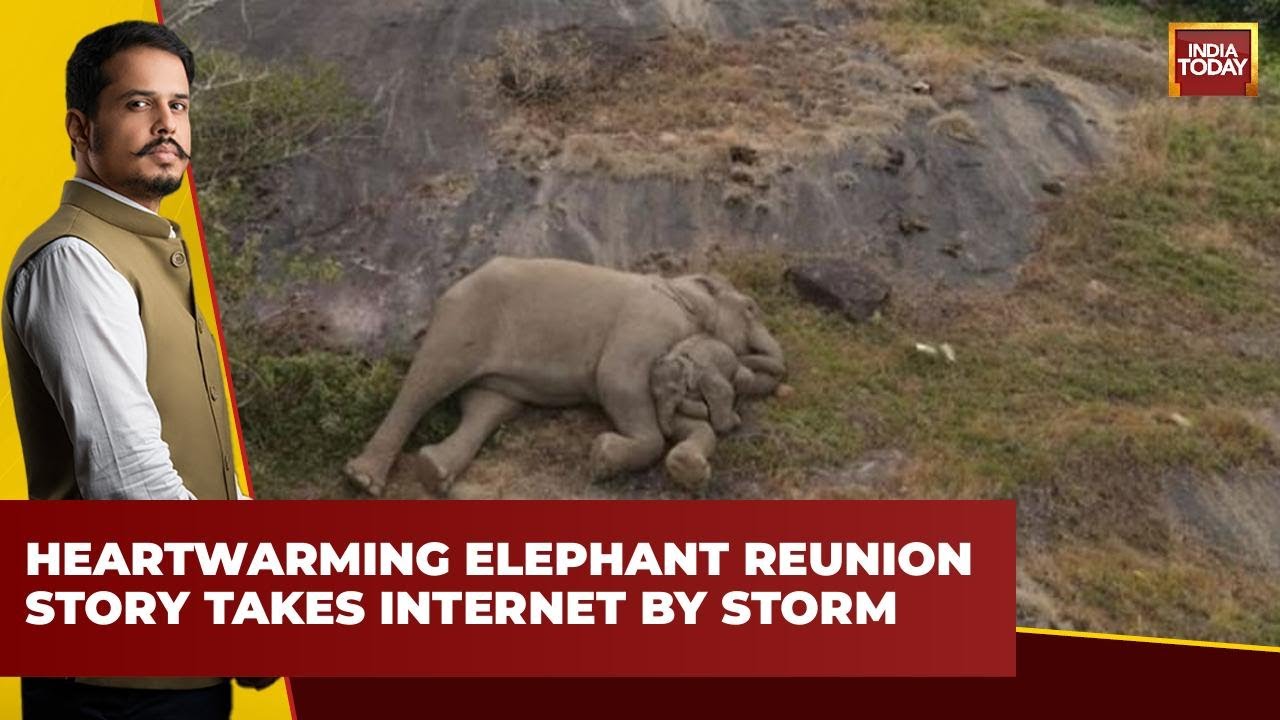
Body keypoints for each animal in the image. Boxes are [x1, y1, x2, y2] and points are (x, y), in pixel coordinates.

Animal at [344, 256, 786, 496]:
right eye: (751, 309)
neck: (681, 286)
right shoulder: (647, 322)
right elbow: (618, 380)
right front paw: (603, 456)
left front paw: (687, 464)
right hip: (464, 319)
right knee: (426, 383)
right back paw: (363, 480)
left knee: (488, 407)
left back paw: (433, 472)